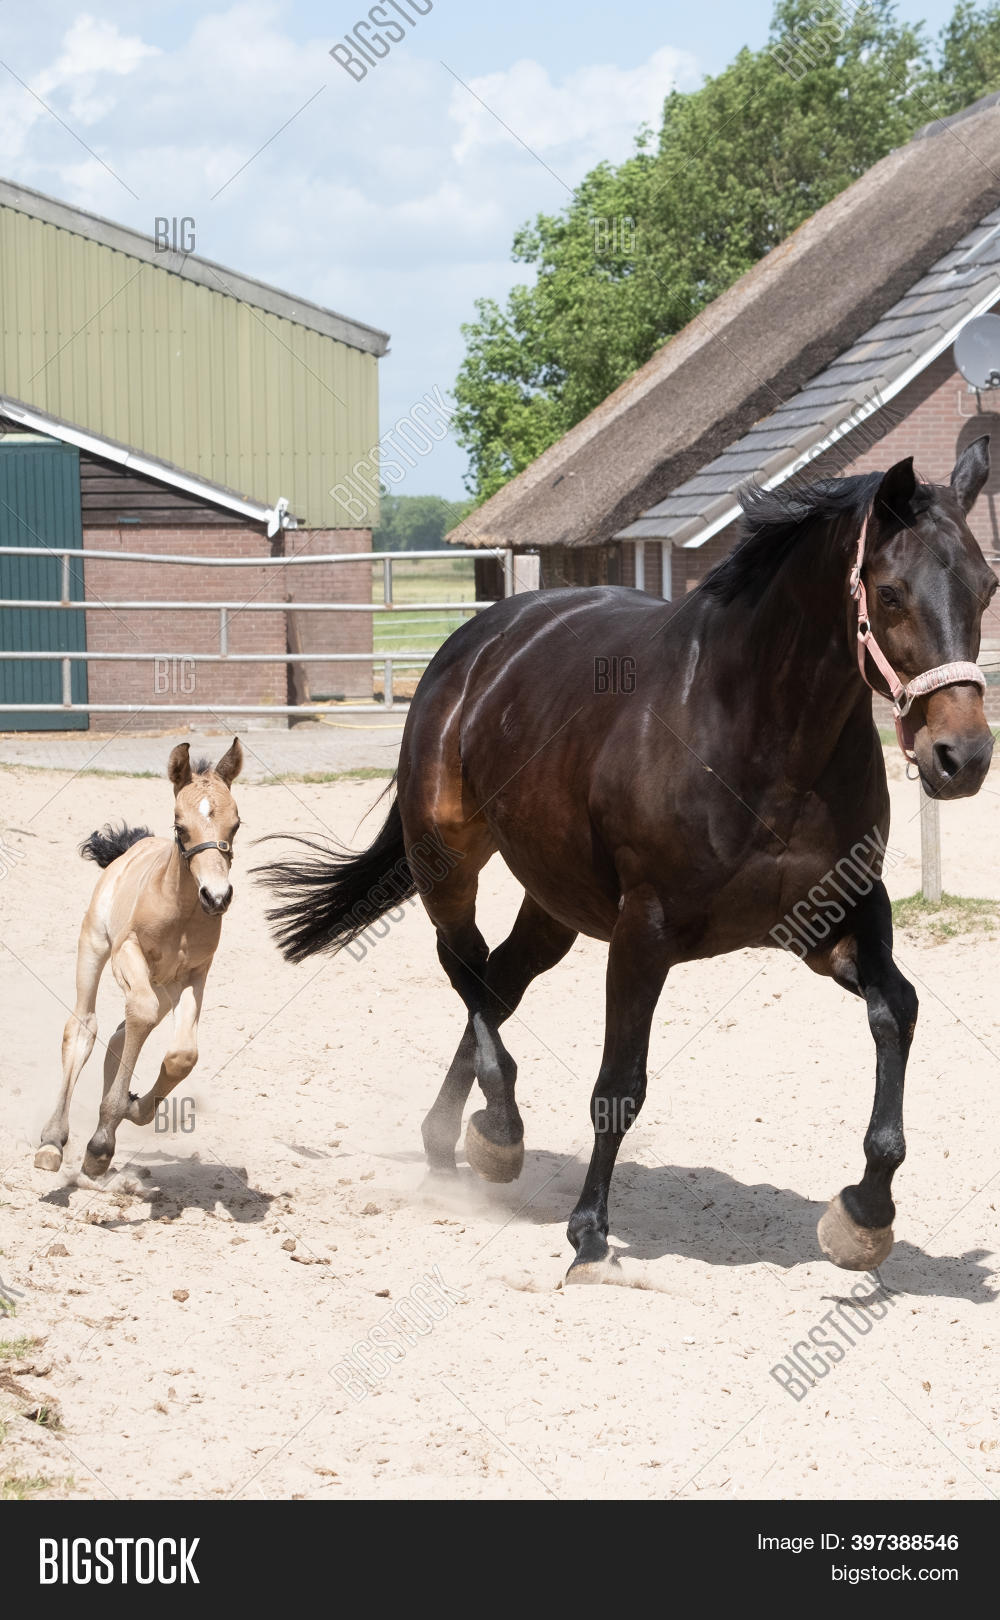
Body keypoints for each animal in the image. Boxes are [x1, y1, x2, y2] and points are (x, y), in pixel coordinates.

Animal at [34, 739, 243, 1180]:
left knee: (119, 1032)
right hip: (96, 948)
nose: (217, 897)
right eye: (180, 827)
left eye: (235, 825)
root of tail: (133, 846)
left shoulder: (195, 974)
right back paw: (52, 1141)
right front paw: (100, 1143)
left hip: (165, 986)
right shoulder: (126, 953)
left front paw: (121, 1117)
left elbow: (182, 1056)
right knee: (84, 1026)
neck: (180, 911)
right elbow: (135, 1015)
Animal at [257, 444, 996, 1283]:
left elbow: (895, 1010)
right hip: (449, 858)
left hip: (555, 901)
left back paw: (451, 1141)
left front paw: (865, 1212)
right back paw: (500, 1128)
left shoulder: (834, 918)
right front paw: (588, 1236)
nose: (962, 757)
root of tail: (475, 644)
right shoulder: (645, 929)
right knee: (465, 968)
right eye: (891, 592)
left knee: (500, 981)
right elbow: (620, 1084)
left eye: (986, 586)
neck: (756, 729)